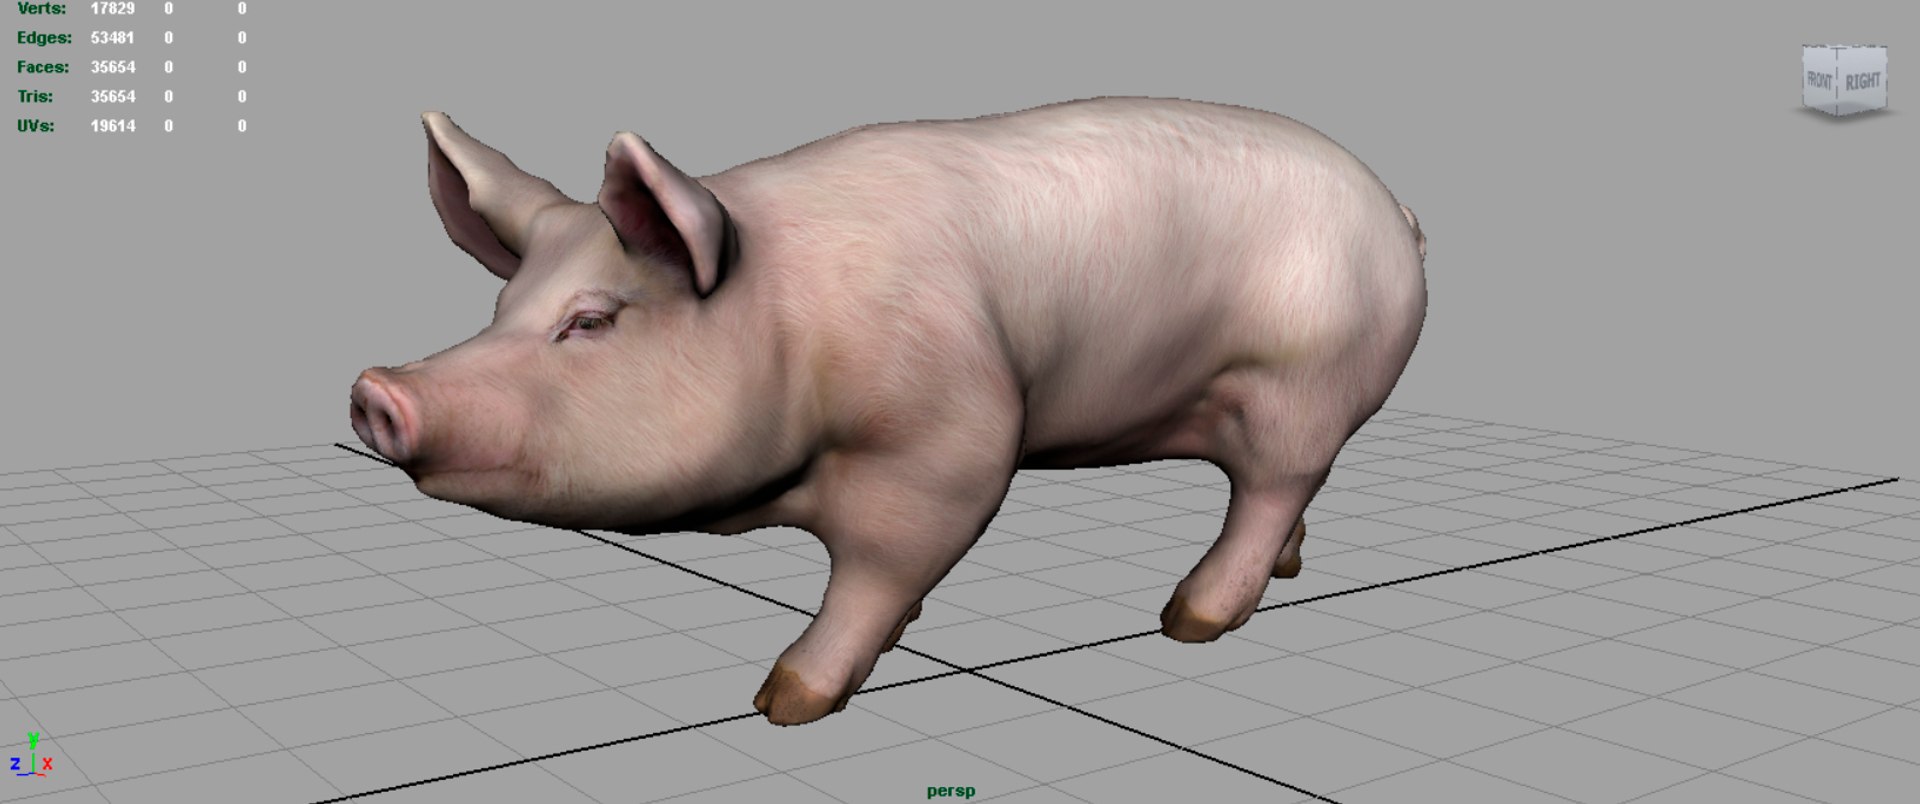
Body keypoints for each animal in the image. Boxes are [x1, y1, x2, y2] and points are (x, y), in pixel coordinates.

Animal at [350, 96, 1427, 726]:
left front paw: (783, 701)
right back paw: (1284, 572)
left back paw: (1190, 621)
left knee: (1272, 486)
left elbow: (877, 572)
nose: (376, 390)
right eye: (502, 308)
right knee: (1284, 496)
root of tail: (1398, 215)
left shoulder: (946, 441)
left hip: (1302, 380)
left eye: (590, 320)